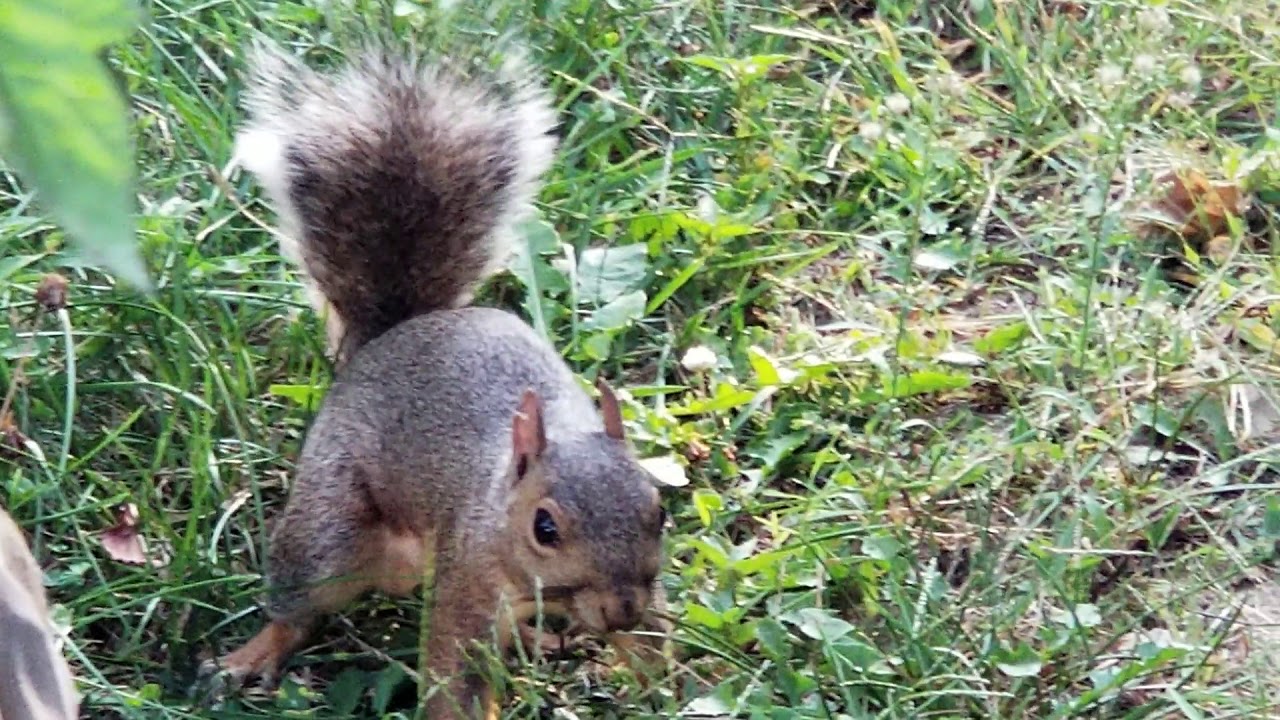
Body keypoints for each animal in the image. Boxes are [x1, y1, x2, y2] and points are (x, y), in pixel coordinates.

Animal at [203, 40, 671, 718]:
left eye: (659, 510)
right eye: (545, 528)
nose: (621, 609)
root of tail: (392, 335)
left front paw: (661, 678)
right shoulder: (467, 574)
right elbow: (456, 676)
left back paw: (536, 640)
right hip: (329, 529)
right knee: (299, 603)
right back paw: (252, 656)